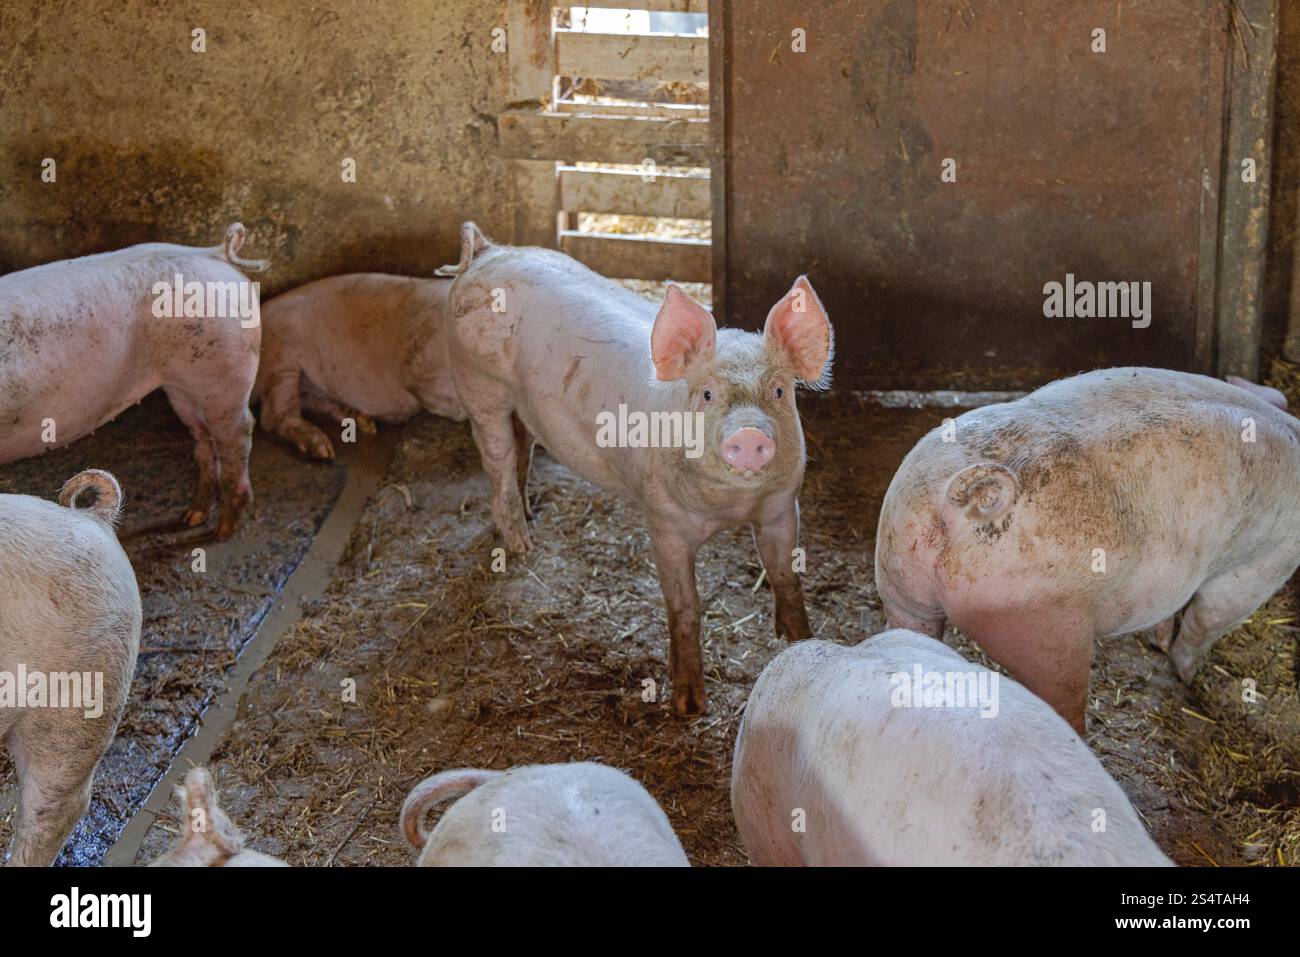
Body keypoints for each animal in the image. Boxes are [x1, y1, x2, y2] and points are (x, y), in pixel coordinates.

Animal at [0, 223, 268, 538]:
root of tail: (213, 253)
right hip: (182, 384)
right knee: (203, 437)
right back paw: (192, 516)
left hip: (225, 371)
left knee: (238, 433)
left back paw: (223, 529)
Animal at [446, 223, 833, 715]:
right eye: (707, 394)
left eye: (779, 391)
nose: (748, 435)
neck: (730, 509)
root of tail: (484, 253)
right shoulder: (662, 519)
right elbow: (685, 606)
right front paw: (689, 706)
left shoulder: (783, 505)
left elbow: (785, 577)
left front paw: (800, 640)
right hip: (478, 385)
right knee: (496, 462)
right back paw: (522, 545)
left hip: (518, 402)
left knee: (521, 446)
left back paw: (532, 515)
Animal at [875, 367, 1300, 731]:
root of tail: (963, 496)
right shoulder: (1268, 561)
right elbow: (1209, 616)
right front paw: (1184, 675)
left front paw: (1157, 642)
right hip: (1044, 623)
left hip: (899, 565)